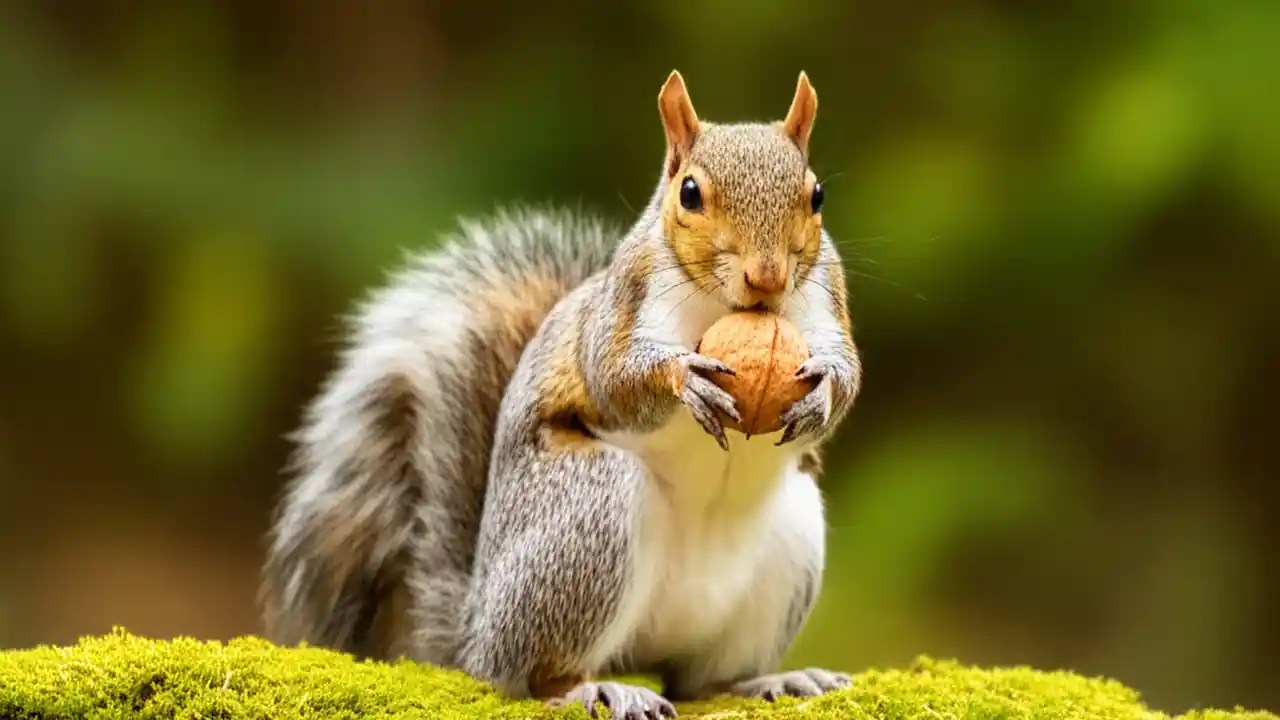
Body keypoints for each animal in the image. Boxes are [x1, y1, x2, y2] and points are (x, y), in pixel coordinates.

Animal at [261, 70, 861, 719]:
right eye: (690, 194)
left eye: (816, 195)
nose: (767, 277)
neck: (727, 306)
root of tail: (475, 629)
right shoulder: (624, 305)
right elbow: (613, 377)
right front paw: (684, 379)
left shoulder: (825, 297)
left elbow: (849, 372)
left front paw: (823, 395)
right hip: (587, 518)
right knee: (531, 675)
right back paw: (592, 687)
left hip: (790, 540)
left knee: (699, 681)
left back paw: (768, 681)